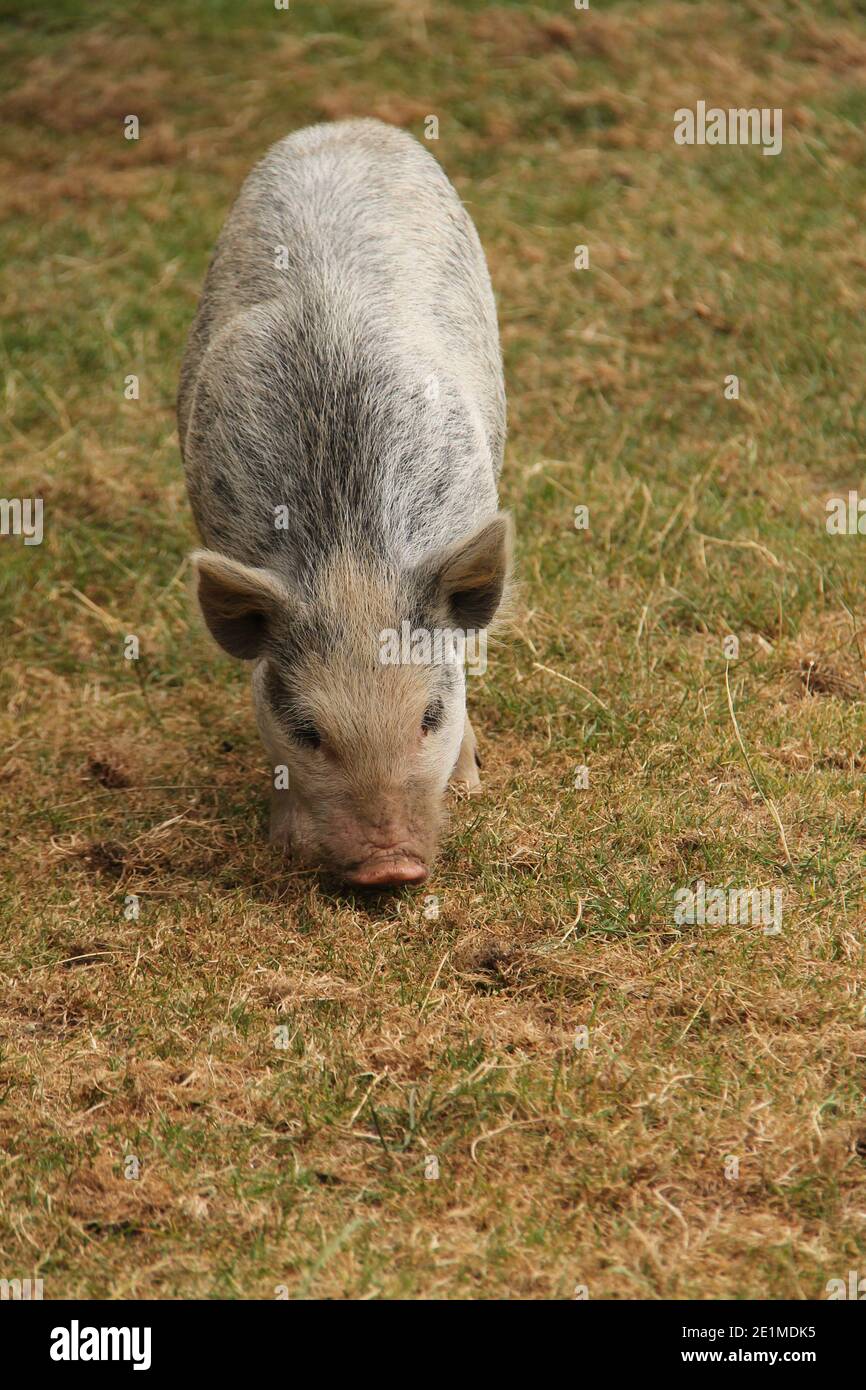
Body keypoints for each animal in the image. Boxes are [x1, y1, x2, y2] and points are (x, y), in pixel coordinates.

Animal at [177, 119, 510, 887]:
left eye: (429, 716)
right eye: (308, 731)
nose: (390, 867)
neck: (350, 557)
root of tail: (346, 126)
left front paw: (473, 785)